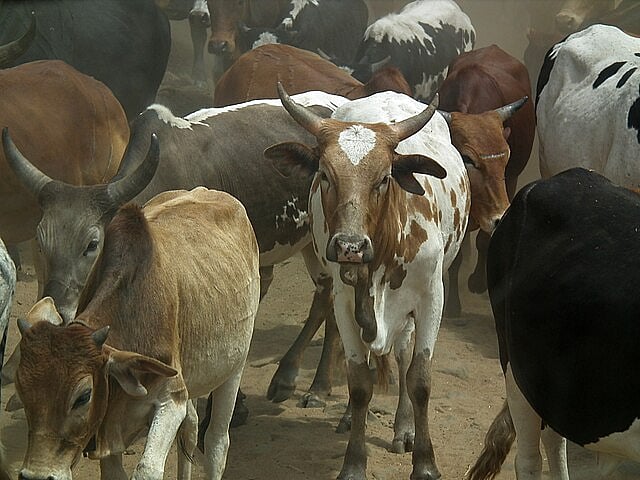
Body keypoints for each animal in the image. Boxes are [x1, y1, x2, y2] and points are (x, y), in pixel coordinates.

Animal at [2, 92, 350, 426]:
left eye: (92, 244)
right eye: (41, 241)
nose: (57, 309)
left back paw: (316, 387)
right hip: (308, 244)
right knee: (323, 296)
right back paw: (288, 378)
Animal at [13, 185, 260, 480]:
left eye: (83, 396)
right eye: (22, 389)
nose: (36, 475)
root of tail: (212, 191)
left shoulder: (172, 398)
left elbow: (147, 469)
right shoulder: (109, 425)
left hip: (235, 366)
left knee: (216, 442)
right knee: (190, 428)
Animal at [265, 85, 471, 479]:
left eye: (384, 178)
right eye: (325, 175)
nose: (350, 246)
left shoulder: (431, 298)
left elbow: (419, 379)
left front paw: (425, 461)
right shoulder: (347, 300)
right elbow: (360, 382)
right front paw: (354, 462)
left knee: (403, 356)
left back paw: (404, 428)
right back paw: (349, 416)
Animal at [437, 45, 535, 317]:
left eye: (505, 156)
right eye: (467, 158)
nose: (500, 216)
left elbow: (483, 239)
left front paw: (478, 282)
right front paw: (454, 306)